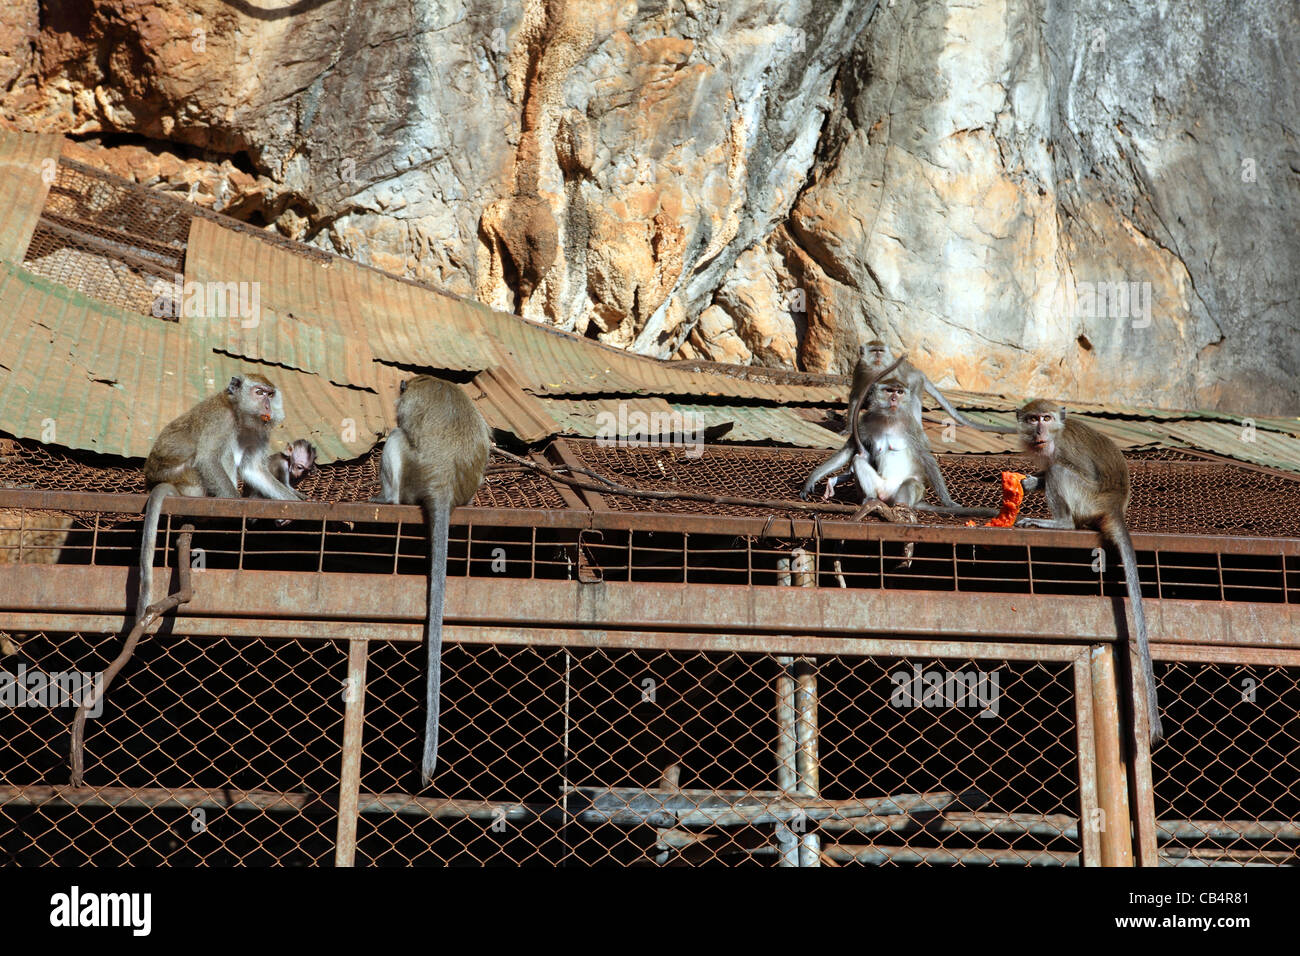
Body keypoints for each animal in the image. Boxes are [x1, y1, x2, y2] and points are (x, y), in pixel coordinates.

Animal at [137, 374, 302, 628]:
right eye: (259, 393)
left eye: (270, 394)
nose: (267, 406)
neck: (239, 416)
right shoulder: (220, 421)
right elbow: (208, 458)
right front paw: (235, 508)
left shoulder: (259, 431)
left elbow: (255, 470)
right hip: (186, 478)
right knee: (219, 453)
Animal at [1014, 399, 1163, 745]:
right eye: (1032, 418)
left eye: (1046, 418)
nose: (1039, 430)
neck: (1055, 436)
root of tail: (1113, 507)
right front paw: (1030, 481)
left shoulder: (1064, 447)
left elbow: (1061, 467)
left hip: (1088, 501)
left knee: (1061, 473)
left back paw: (1060, 523)